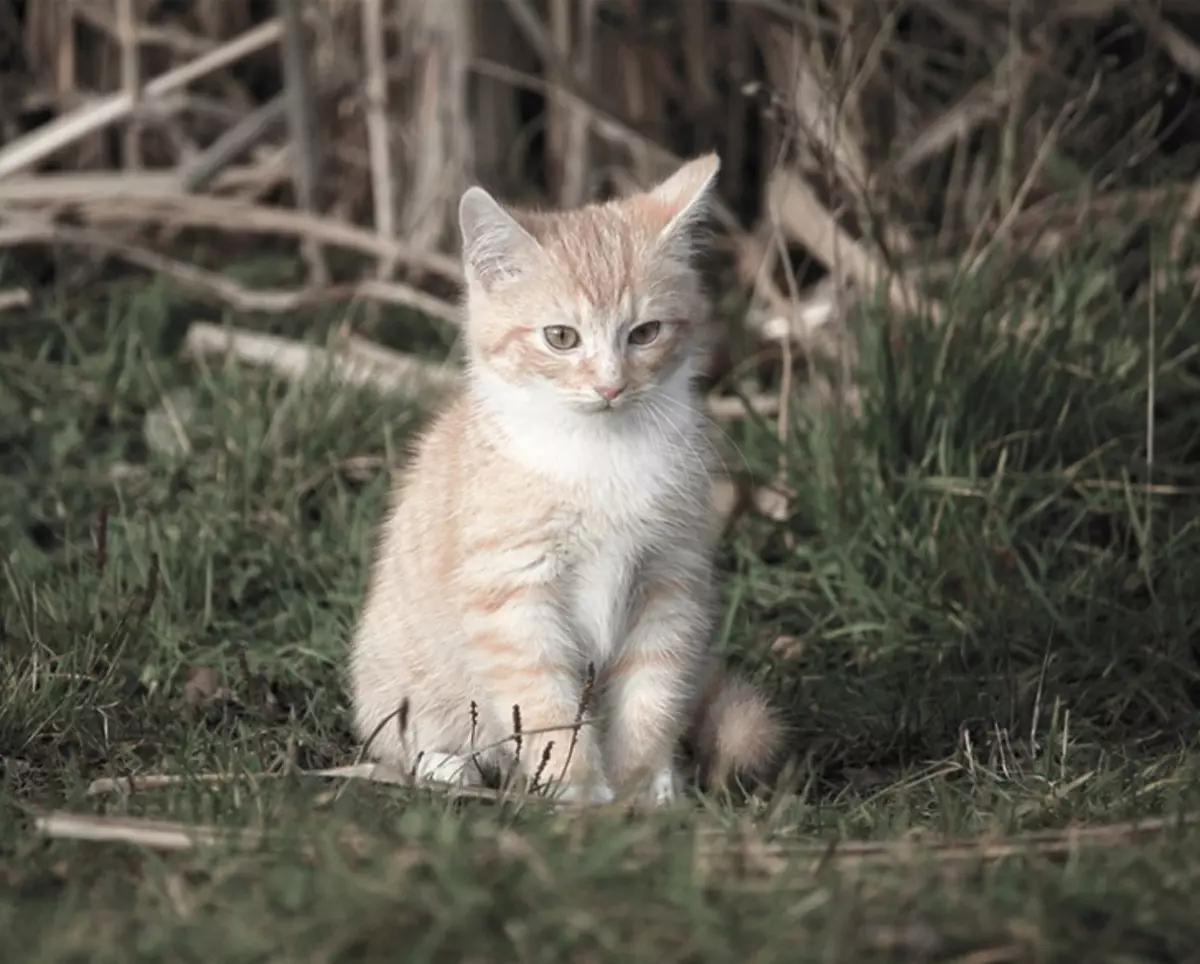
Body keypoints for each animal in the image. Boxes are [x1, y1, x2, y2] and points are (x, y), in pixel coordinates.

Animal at [348, 154, 782, 801]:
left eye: (645, 333)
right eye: (560, 337)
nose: (610, 385)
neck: (599, 456)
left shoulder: (668, 581)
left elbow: (651, 692)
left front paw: (644, 788)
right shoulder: (514, 596)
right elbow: (545, 705)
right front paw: (578, 793)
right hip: (398, 676)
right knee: (405, 731)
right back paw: (448, 765)